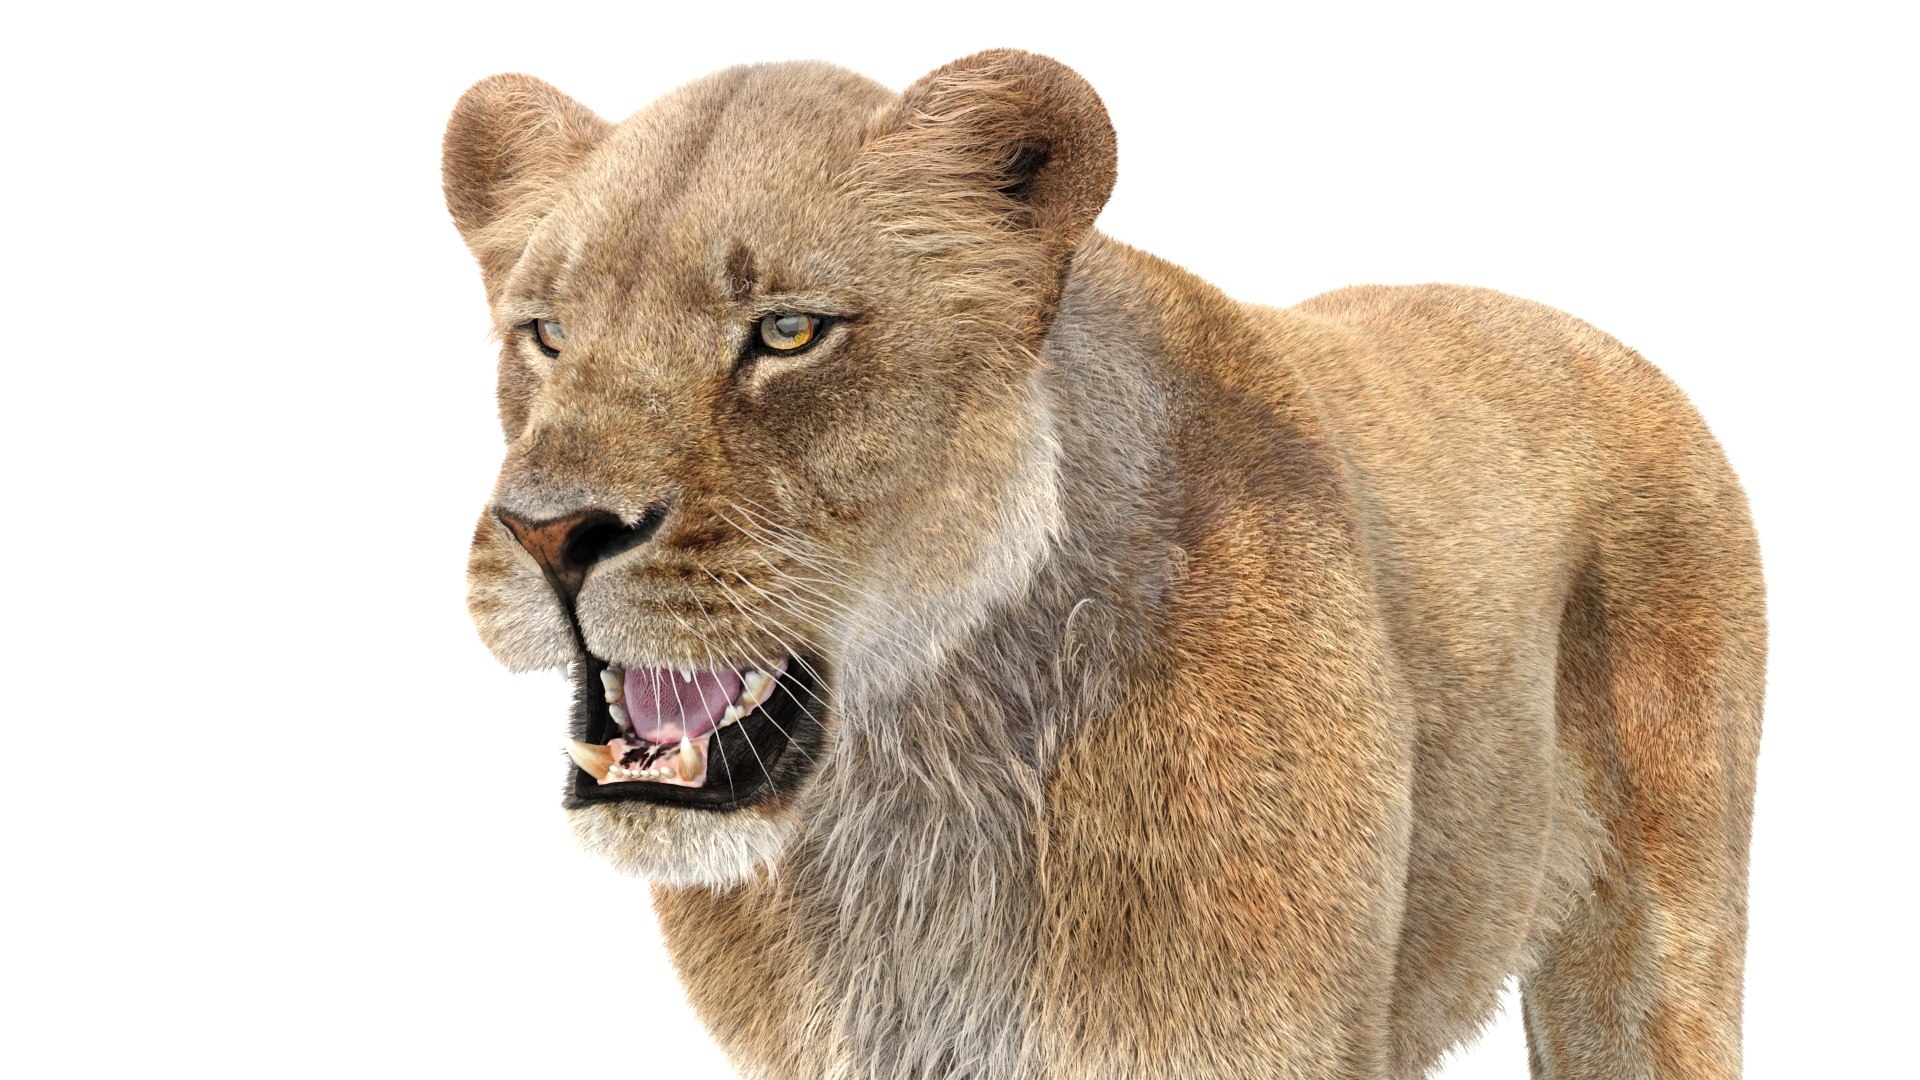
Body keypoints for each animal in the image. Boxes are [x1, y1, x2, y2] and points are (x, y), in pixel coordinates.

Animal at [442, 50, 1764, 1080]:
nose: (551, 533)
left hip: (1654, 952)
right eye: (546, 332)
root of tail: (1610, 347)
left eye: (789, 331)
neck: (916, 782)